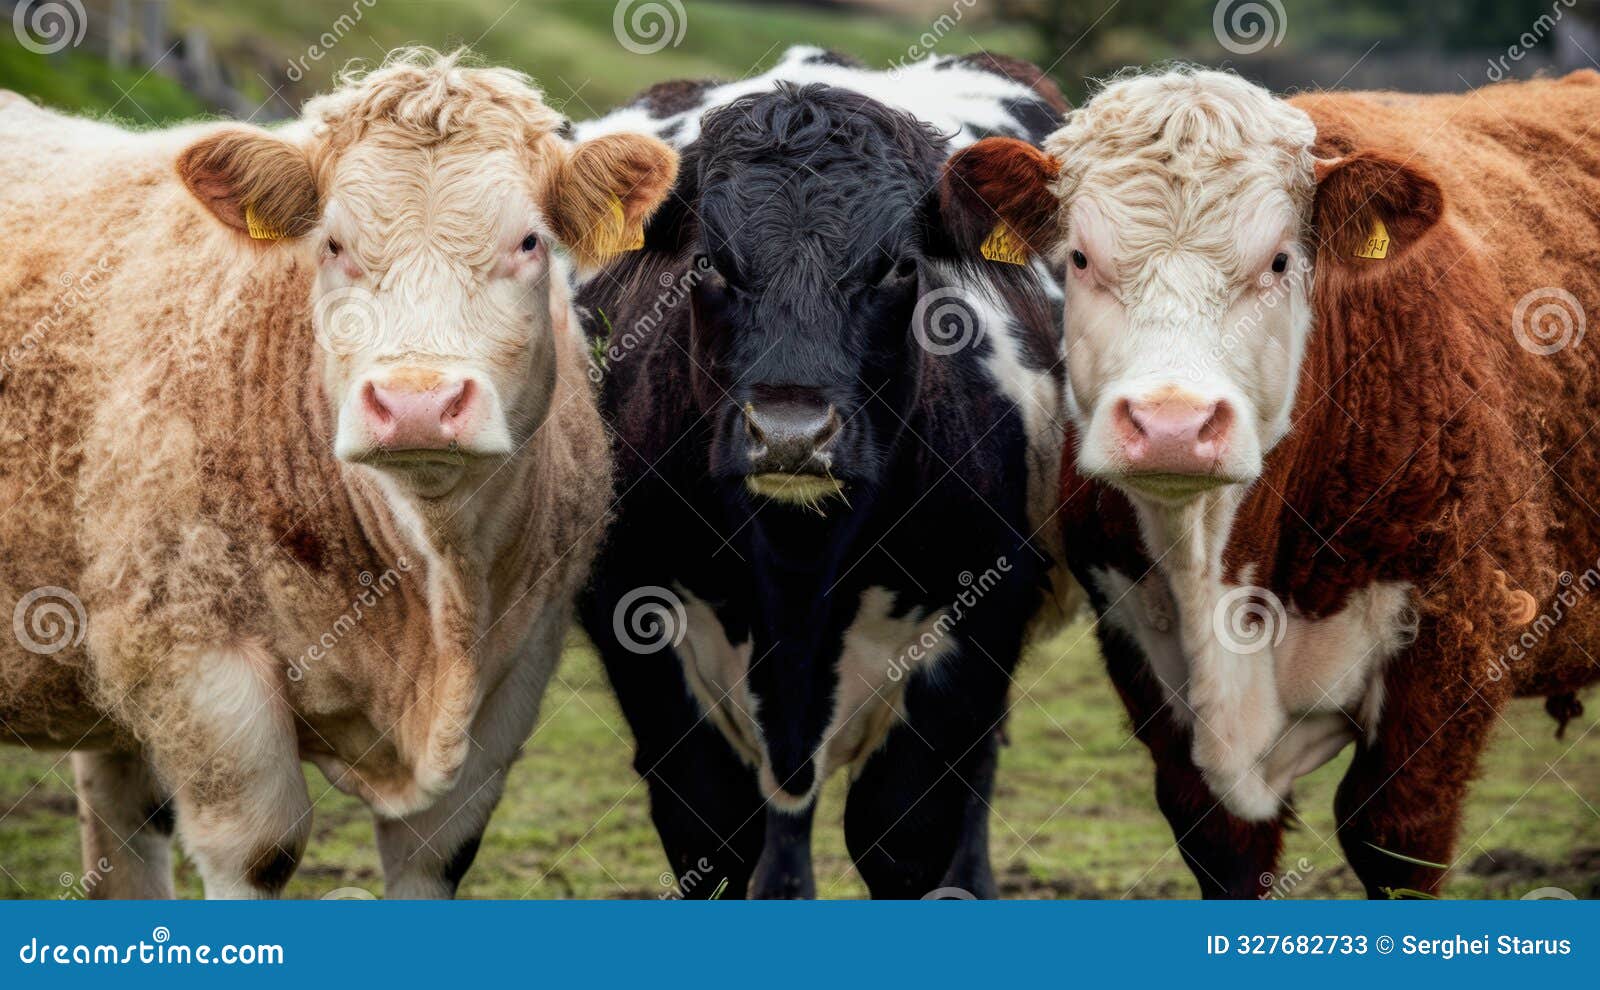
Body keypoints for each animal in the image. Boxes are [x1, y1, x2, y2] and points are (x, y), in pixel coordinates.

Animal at [0, 49, 676, 898]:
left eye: (530, 242)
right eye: (332, 244)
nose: (417, 402)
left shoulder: (516, 671)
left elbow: (434, 851)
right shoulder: (193, 666)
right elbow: (259, 849)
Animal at [573, 46, 1077, 898]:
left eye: (898, 267)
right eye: (709, 263)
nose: (790, 432)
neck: (798, 568)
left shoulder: (983, 611)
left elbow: (903, 834)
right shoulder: (632, 609)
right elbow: (710, 830)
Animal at [946, 67, 1600, 897]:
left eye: (1282, 261)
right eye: (1081, 260)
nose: (1172, 423)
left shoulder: (1459, 640)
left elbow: (1393, 837)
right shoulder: (1142, 655)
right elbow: (1225, 842)